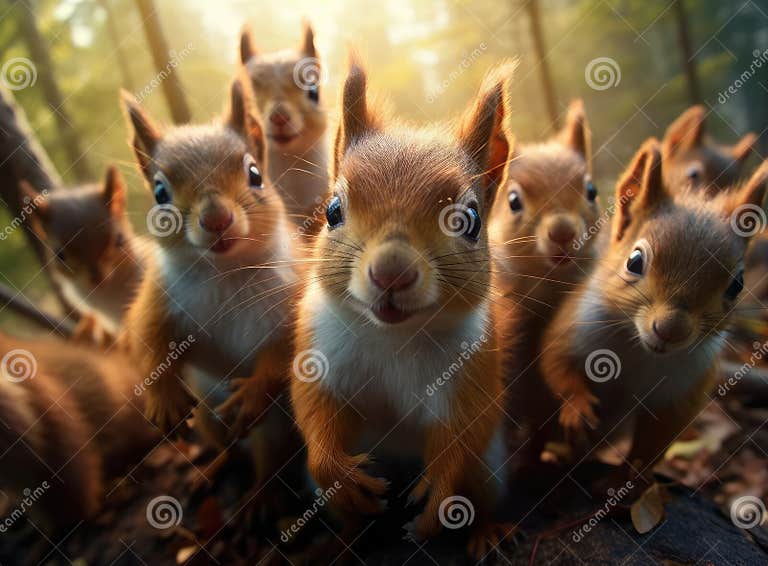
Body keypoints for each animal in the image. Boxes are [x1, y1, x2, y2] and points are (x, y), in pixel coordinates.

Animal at [118, 70, 298, 436]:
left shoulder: (290, 298)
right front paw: (165, 399)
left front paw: (251, 395)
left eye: (255, 174)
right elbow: (146, 339)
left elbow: (282, 357)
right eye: (159, 193)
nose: (216, 219)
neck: (224, 272)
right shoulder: (157, 297)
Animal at [290, 56, 517, 558]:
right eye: (332, 210)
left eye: (469, 221)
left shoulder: (472, 371)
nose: (391, 274)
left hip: (490, 470)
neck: (393, 335)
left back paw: (486, 531)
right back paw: (342, 541)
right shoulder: (318, 353)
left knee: (481, 491)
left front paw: (435, 505)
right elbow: (315, 412)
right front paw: (340, 472)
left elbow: (463, 433)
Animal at [538, 138, 768, 484]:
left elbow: (656, 440)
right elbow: (556, 362)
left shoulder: (684, 387)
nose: (671, 330)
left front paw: (629, 477)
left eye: (737, 285)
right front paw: (578, 408)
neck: (641, 352)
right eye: (634, 262)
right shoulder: (575, 324)